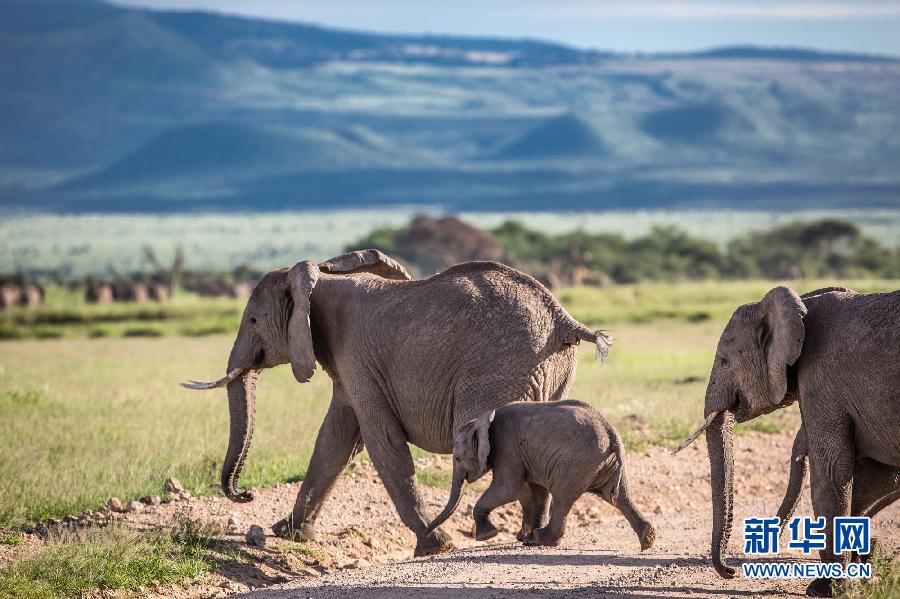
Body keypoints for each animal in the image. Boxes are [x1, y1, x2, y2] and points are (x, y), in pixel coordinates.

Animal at [182, 250, 611, 557]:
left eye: (253, 321)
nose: (245, 495)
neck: (318, 279)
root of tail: (565, 319)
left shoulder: (356, 355)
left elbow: (380, 441)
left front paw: (434, 546)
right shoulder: (348, 365)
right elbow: (335, 439)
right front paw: (289, 533)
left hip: (503, 369)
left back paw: (512, 536)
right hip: (551, 371)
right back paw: (531, 537)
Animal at [426, 400, 656, 550]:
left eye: (457, 458)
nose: (428, 530)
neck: (480, 420)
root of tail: (612, 432)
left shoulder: (507, 447)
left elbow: (508, 487)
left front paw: (488, 535)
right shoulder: (526, 454)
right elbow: (536, 492)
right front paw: (523, 538)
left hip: (576, 461)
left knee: (562, 498)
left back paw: (543, 539)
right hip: (604, 463)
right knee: (618, 497)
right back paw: (648, 539)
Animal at [673, 285, 900, 597]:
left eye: (724, 361)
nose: (731, 570)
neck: (802, 303)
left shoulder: (821, 381)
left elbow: (833, 470)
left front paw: (828, 588)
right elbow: (880, 477)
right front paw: (855, 577)